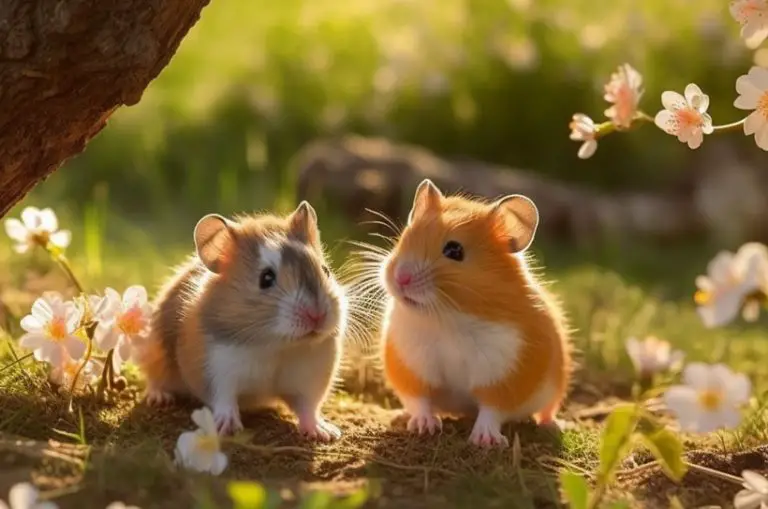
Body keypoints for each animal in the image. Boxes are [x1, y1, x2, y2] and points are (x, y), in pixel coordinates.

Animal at [136, 202, 348, 440]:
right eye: (266, 278)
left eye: (326, 271)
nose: (317, 315)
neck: (276, 345)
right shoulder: (216, 371)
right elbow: (224, 401)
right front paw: (226, 428)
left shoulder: (311, 379)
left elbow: (308, 408)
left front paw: (326, 433)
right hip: (153, 351)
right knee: (154, 377)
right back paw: (159, 398)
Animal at [378, 179, 572, 448]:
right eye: (404, 238)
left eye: (454, 251)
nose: (400, 278)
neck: (447, 317)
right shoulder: (412, 368)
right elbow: (420, 401)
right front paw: (424, 426)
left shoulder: (503, 375)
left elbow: (492, 410)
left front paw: (486, 441)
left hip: (555, 386)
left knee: (546, 410)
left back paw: (553, 426)